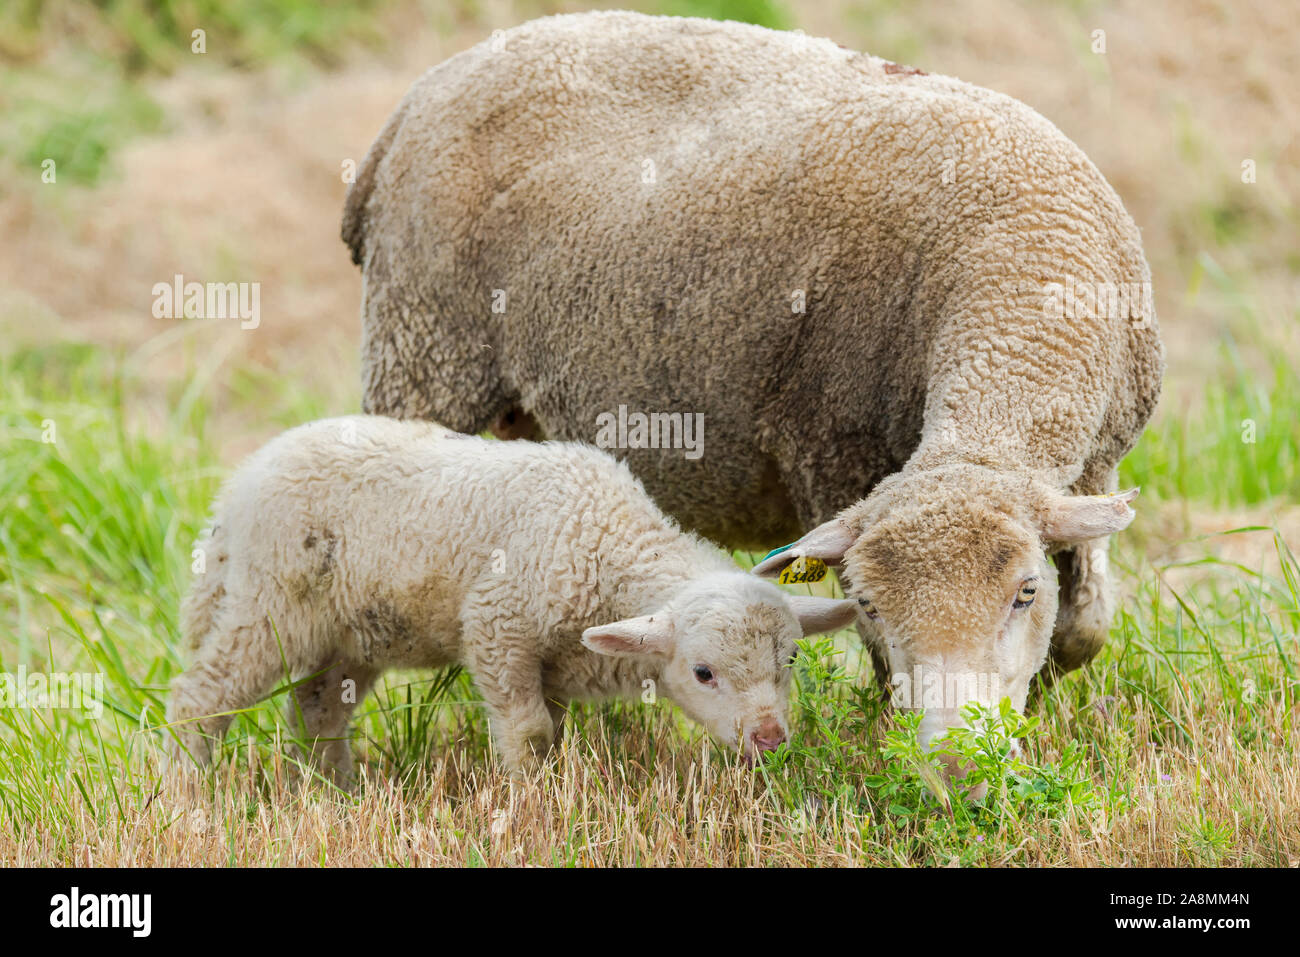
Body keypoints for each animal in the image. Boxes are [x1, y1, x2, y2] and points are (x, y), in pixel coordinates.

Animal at [167, 415, 859, 781]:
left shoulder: (549, 661)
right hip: (272, 606)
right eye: (703, 672)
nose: (770, 739)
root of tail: (236, 490)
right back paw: (190, 790)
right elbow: (528, 732)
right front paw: (532, 800)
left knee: (316, 709)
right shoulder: (498, 626)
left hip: (354, 631)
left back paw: (337, 789)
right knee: (203, 697)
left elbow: (553, 729)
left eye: (791, 660)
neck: (606, 539)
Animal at [340, 11, 1164, 751]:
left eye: (1024, 592)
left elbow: (1088, 626)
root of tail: (415, 102)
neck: (1019, 269)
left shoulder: (1092, 464)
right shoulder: (831, 459)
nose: (958, 753)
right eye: (870, 602)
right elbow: (882, 659)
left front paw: (1044, 692)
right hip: (422, 352)